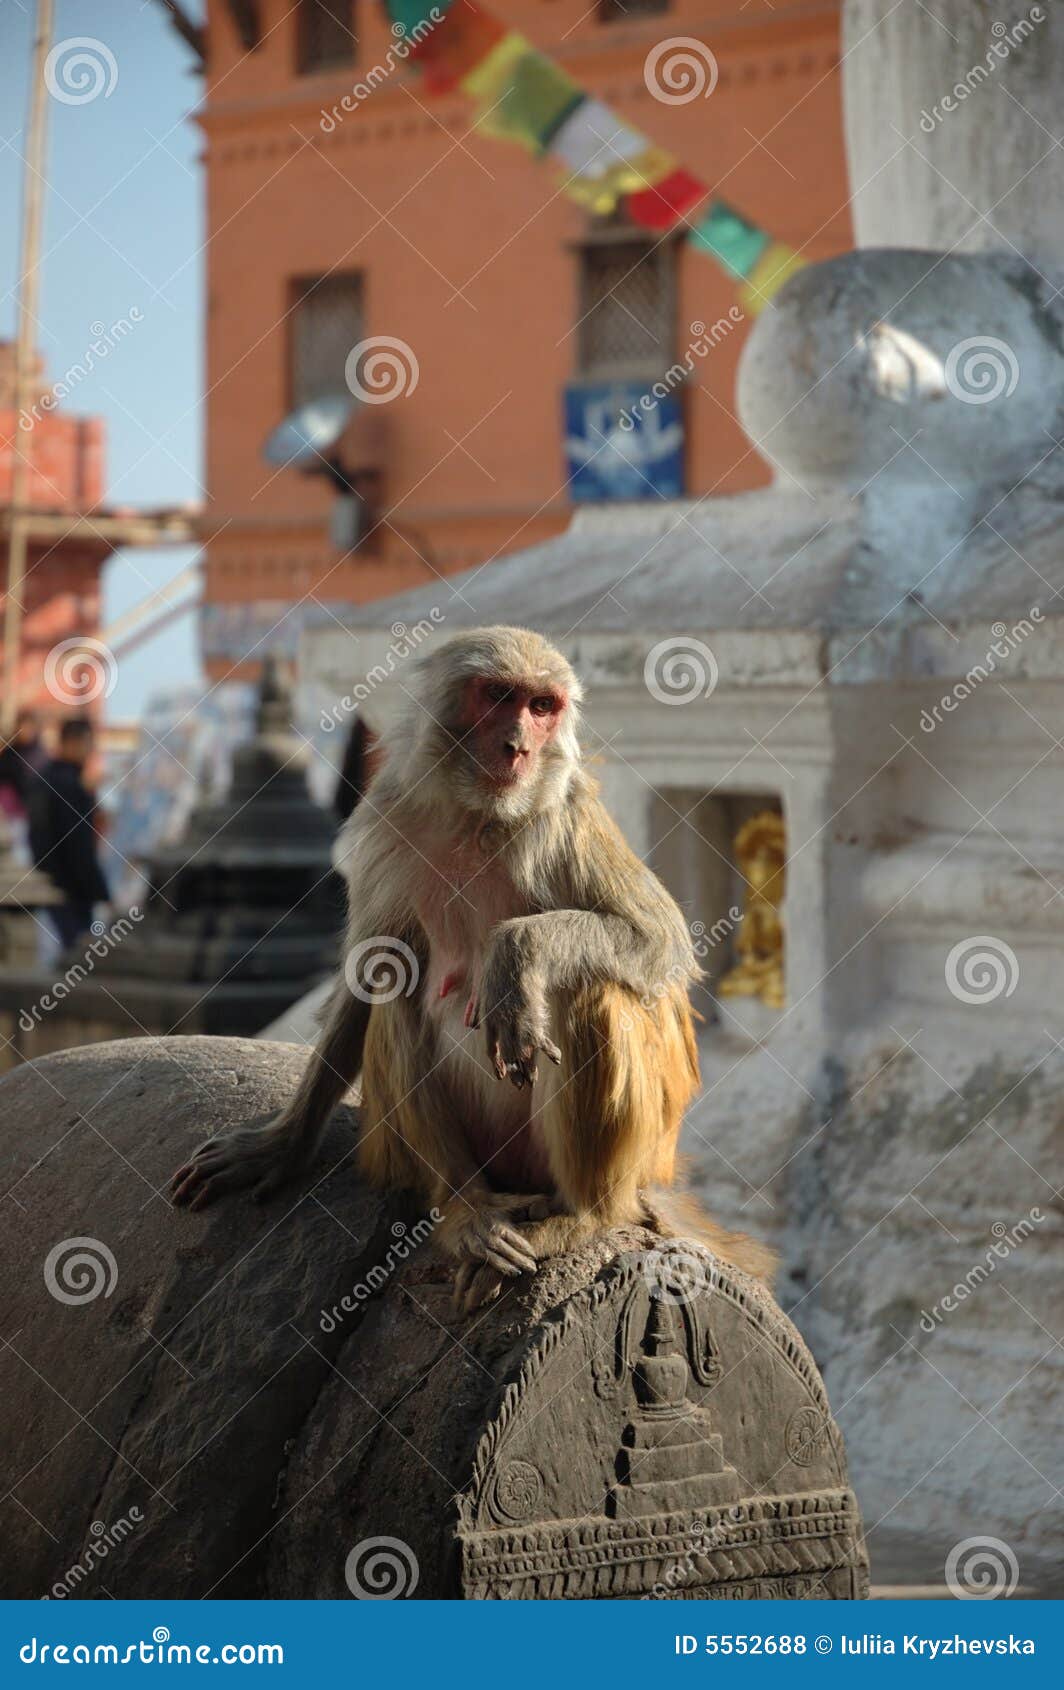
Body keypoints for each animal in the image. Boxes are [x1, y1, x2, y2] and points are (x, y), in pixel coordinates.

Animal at [171, 626, 774, 1311]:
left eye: (543, 706)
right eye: (499, 695)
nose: (519, 745)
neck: (478, 815)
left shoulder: (564, 819)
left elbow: (658, 942)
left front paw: (514, 954)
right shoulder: (391, 819)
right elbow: (372, 970)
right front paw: (283, 1144)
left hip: (614, 1159)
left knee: (588, 986)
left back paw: (583, 1217)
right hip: (443, 1154)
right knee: (398, 985)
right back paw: (467, 1212)